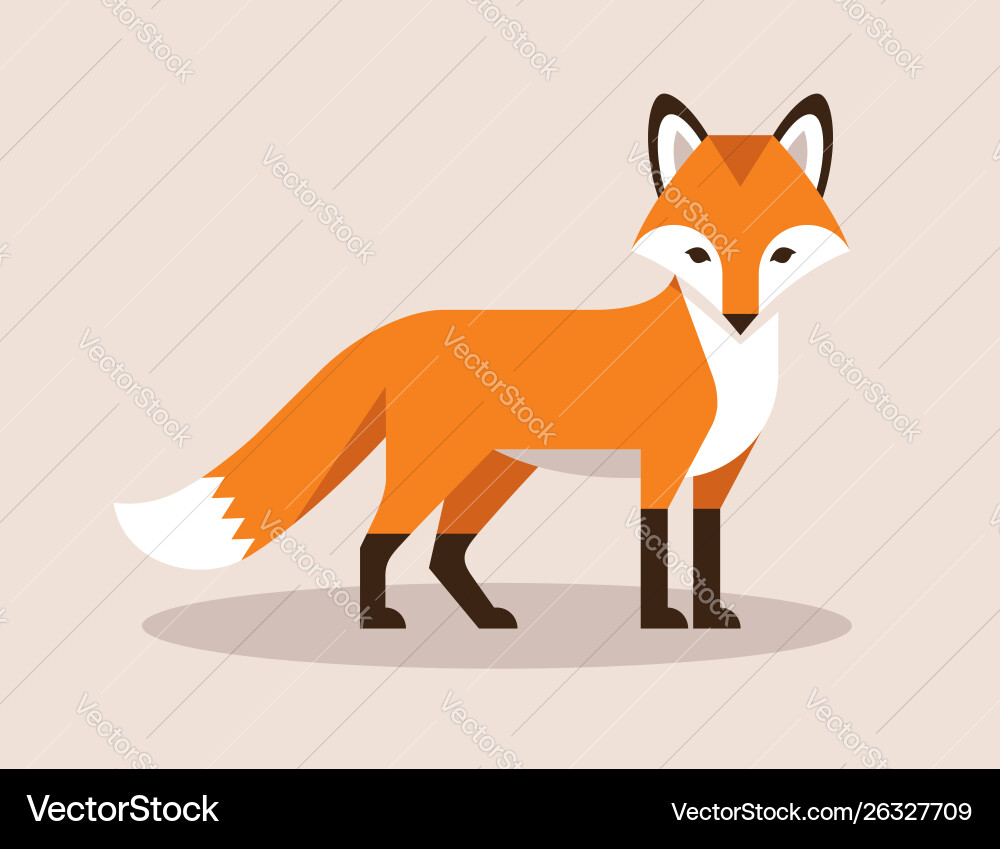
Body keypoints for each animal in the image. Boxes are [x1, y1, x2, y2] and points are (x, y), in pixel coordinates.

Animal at [116, 93, 847, 630]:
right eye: (700, 253)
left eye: (780, 254)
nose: (741, 319)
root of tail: (404, 326)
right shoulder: (661, 466)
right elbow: (655, 550)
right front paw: (661, 624)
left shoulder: (719, 473)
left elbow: (709, 555)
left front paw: (713, 619)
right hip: (435, 470)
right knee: (377, 539)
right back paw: (377, 620)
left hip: (491, 476)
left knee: (443, 554)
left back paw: (485, 617)